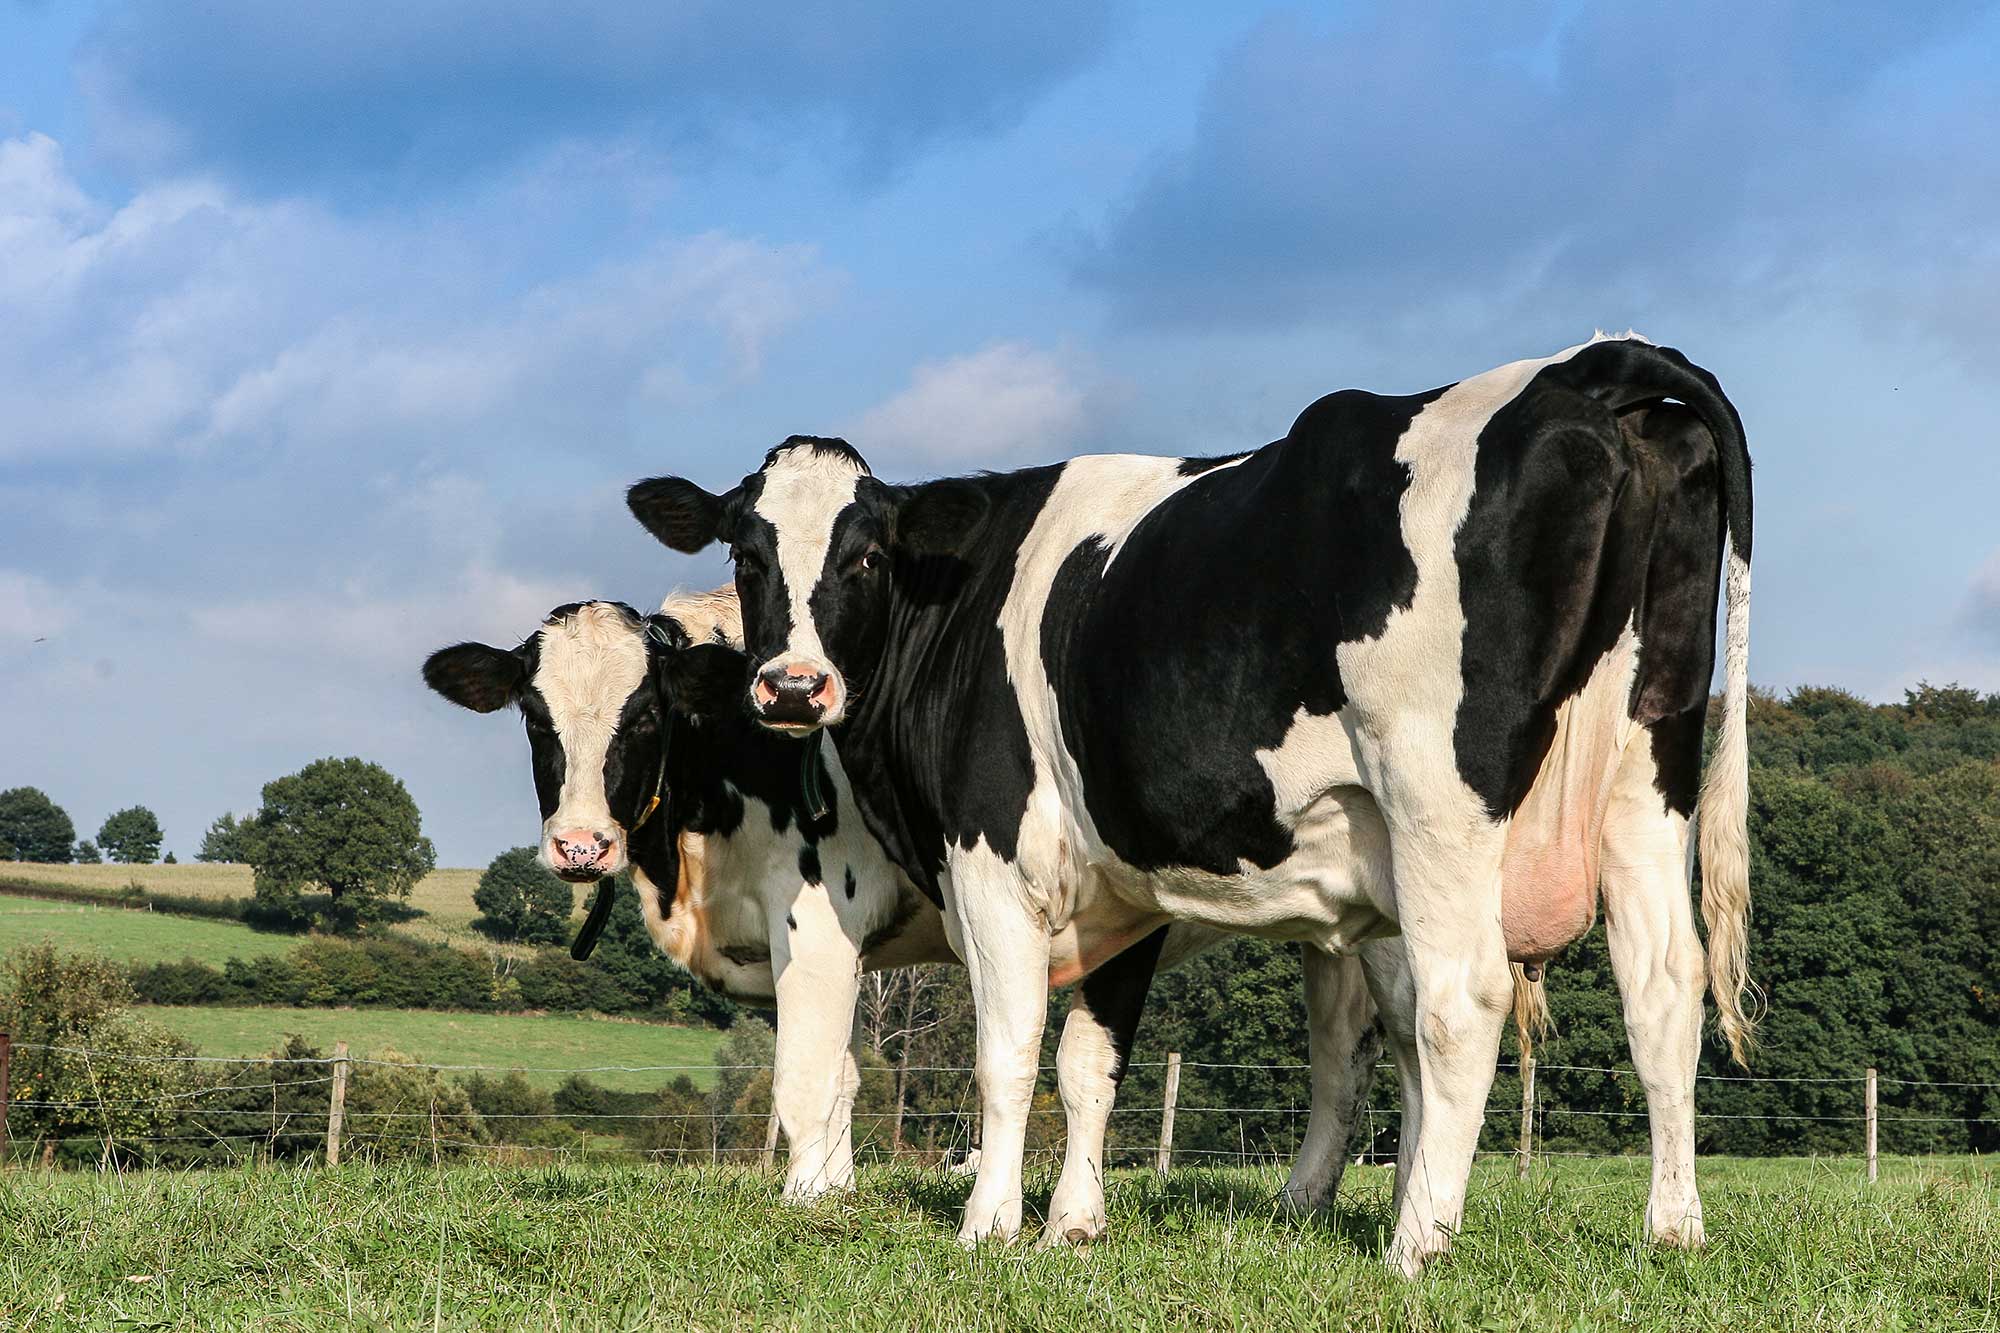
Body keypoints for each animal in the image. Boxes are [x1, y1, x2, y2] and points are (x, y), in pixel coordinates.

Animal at [422, 590, 1400, 1241]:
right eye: (535, 717)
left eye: (644, 714)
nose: (581, 845)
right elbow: (843, 1073)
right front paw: (838, 1189)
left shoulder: (818, 917)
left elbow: (805, 1075)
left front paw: (807, 1202)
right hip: (1331, 937)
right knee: (1343, 1058)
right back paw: (1306, 1203)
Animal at [625, 333, 1755, 1274]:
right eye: (746, 554)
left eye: (864, 554)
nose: (792, 687)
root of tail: (1586, 366)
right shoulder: (1121, 892)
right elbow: (1089, 1063)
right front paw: (1073, 1226)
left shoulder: (991, 857)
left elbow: (1007, 1052)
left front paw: (987, 1225)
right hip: (1644, 775)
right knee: (1663, 988)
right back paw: (1673, 1229)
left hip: (1436, 799)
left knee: (1459, 999)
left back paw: (1417, 1242)